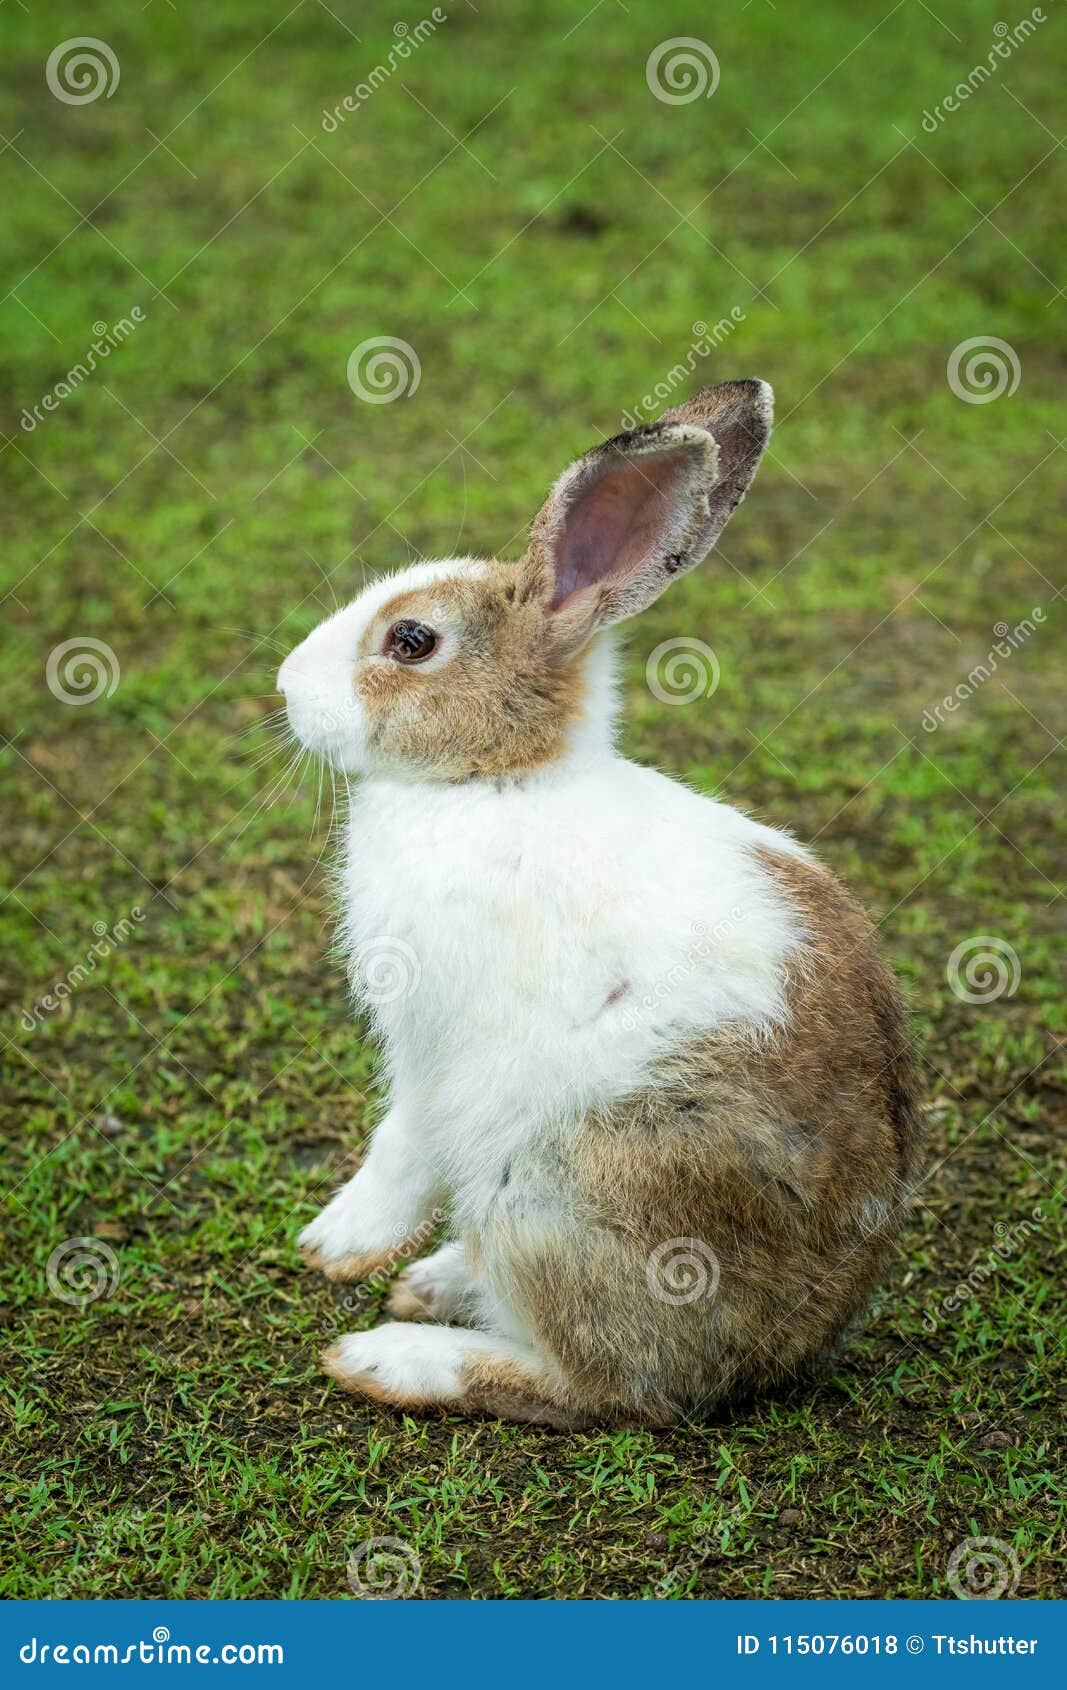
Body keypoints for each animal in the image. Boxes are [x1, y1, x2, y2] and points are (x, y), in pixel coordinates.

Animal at [277, 379, 921, 1428]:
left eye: (411, 642)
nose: (286, 686)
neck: (495, 780)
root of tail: (782, 1349)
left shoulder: (433, 1040)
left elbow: (399, 1139)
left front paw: (337, 1242)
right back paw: (441, 1282)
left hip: (553, 1185)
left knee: (606, 1387)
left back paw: (395, 1355)